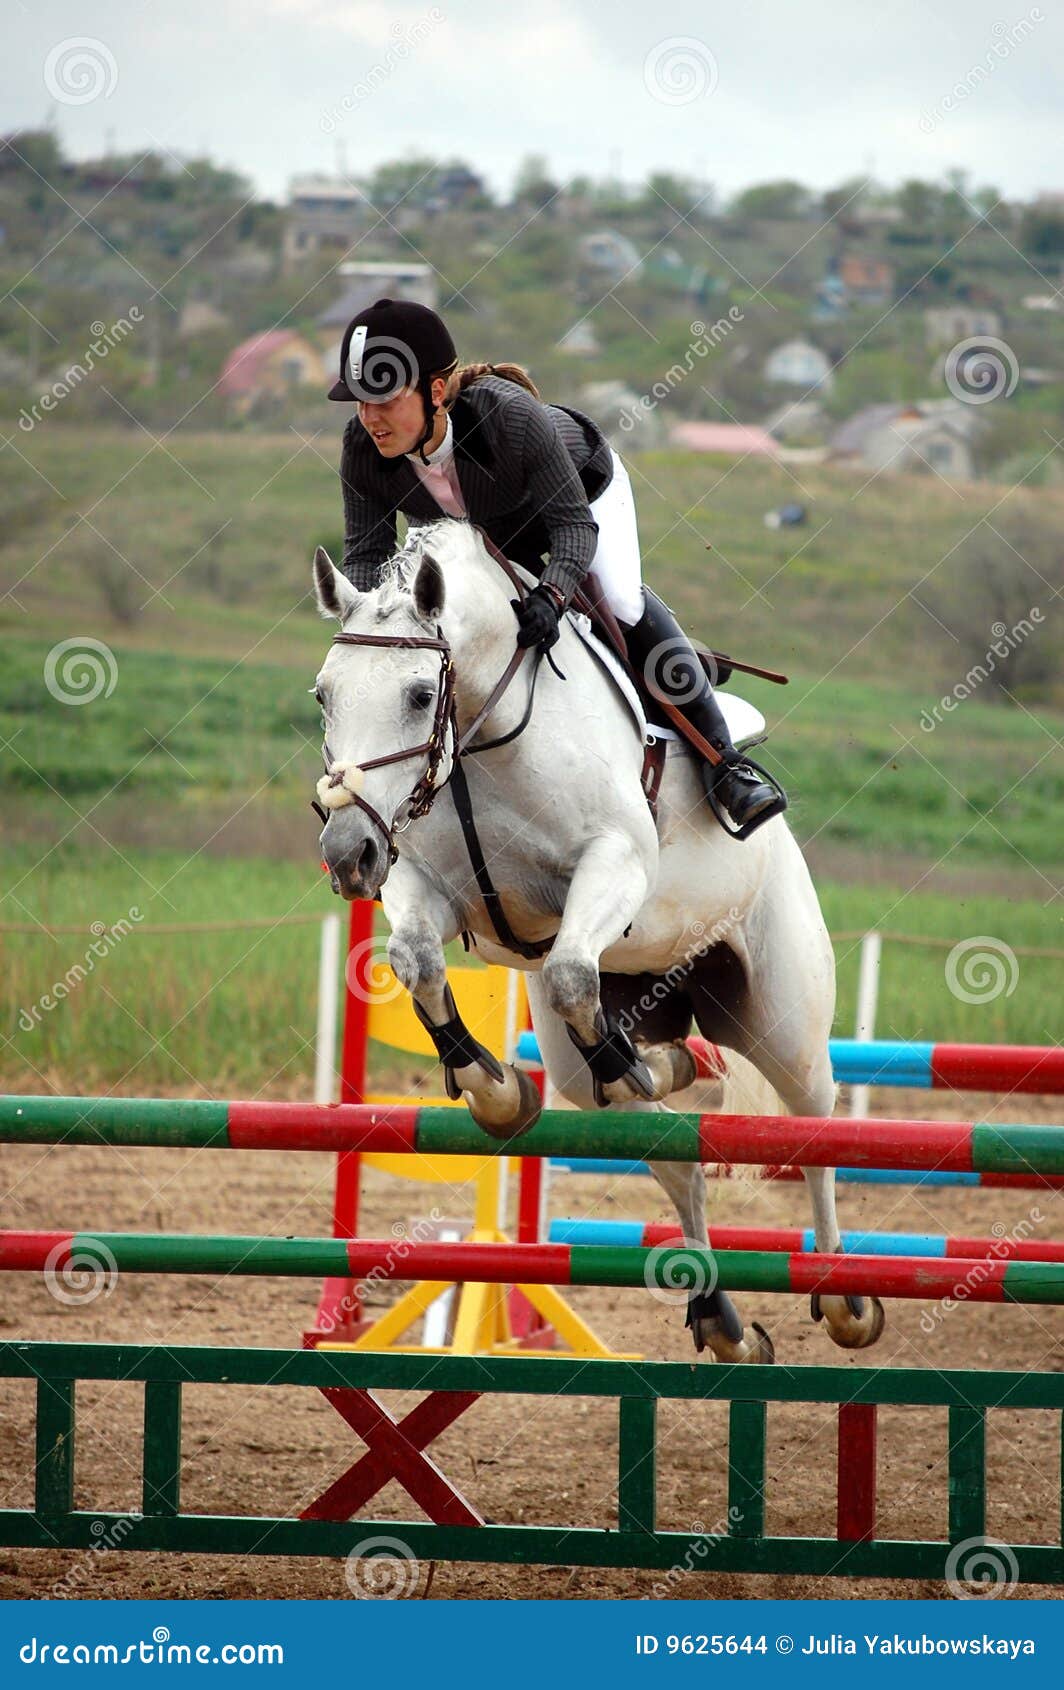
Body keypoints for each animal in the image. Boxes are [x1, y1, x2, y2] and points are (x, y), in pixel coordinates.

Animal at [311, 519, 884, 1363]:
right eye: (324, 695)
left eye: (418, 696)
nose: (347, 852)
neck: (481, 741)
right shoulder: (427, 884)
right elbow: (419, 962)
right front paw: (497, 1091)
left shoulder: (612, 865)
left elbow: (571, 974)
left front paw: (604, 1066)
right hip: (592, 1057)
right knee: (666, 1148)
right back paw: (721, 1314)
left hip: (784, 1021)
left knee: (813, 1128)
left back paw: (846, 1299)